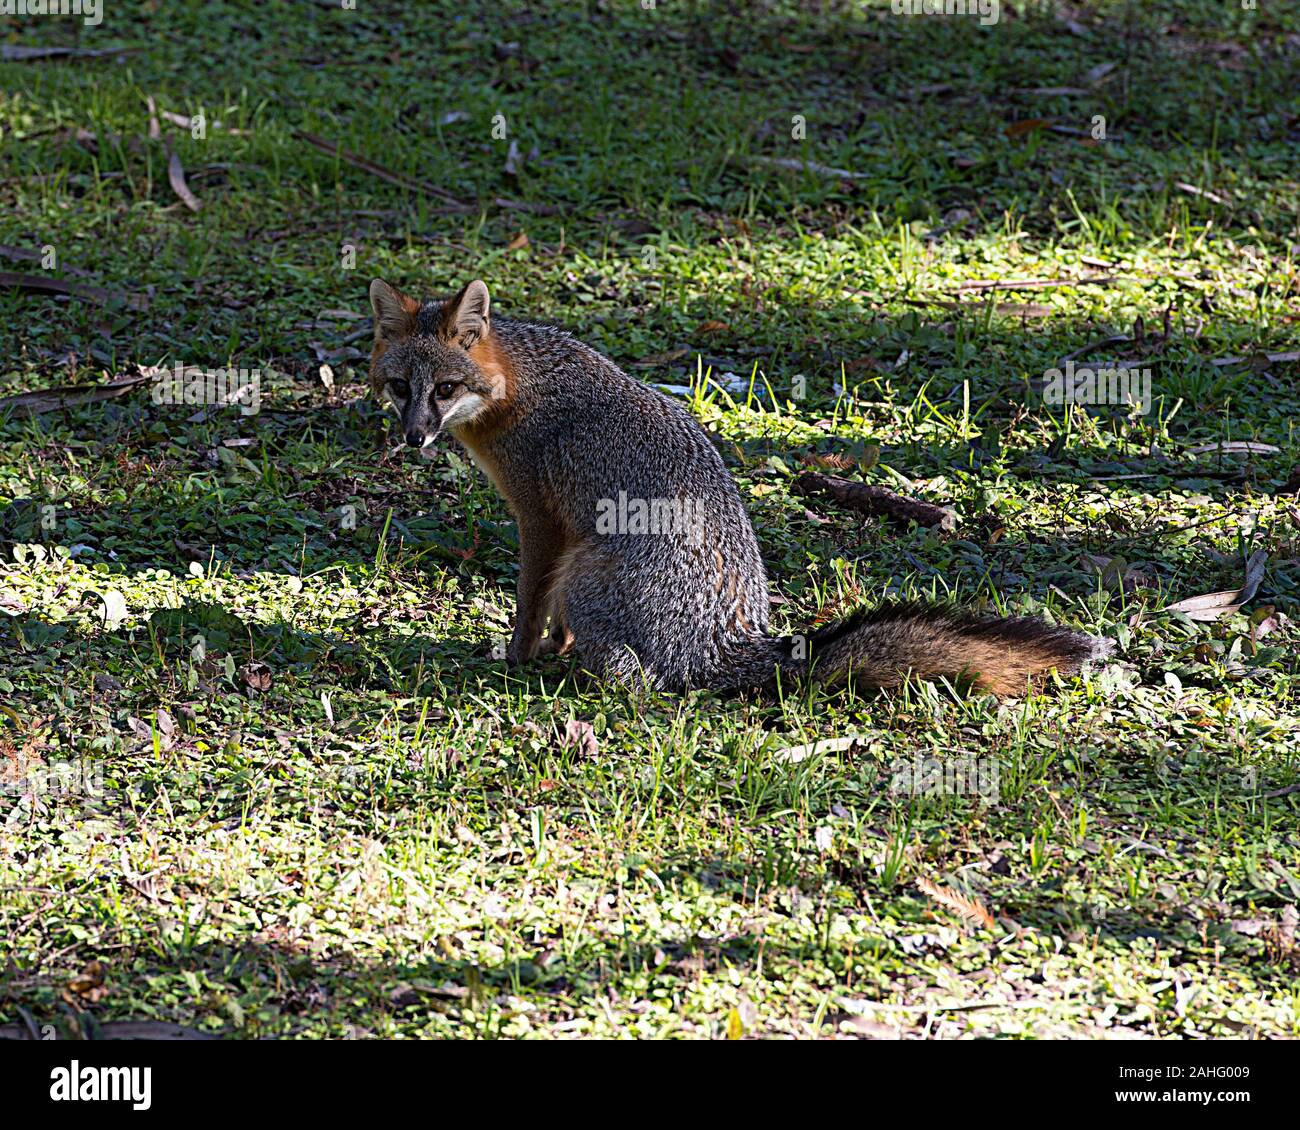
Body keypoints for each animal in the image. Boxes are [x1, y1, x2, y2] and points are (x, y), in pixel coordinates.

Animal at [367, 276, 1111, 695]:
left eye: (444, 389)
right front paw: (549, 649)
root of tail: (732, 644)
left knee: (637, 681)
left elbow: (529, 601)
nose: (412, 437)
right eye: (400, 387)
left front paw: (518, 656)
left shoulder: (543, 521)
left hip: (587, 565)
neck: (520, 384)